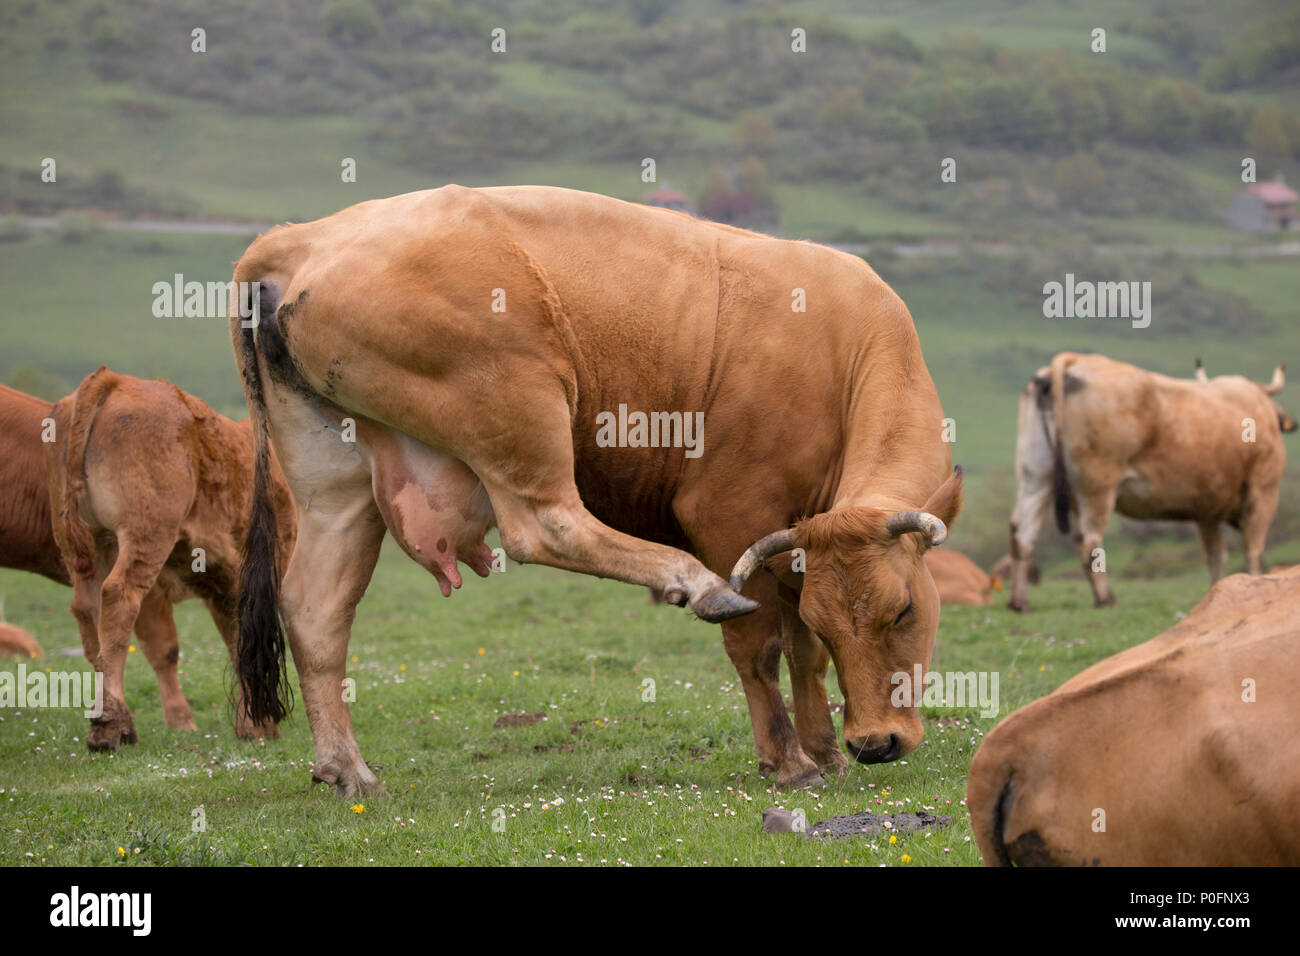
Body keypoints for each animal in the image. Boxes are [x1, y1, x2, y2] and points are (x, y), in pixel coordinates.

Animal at [43, 367, 296, 750]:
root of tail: (116, 380)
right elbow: (245, 640)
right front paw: (257, 724)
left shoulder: (224, 583)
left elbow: (236, 639)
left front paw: (251, 723)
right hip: (146, 533)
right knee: (118, 598)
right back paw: (108, 726)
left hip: (87, 544)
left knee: (88, 611)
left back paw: (117, 720)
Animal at [229, 184, 962, 798]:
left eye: (903, 611)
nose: (874, 743)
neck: (844, 350)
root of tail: (305, 237)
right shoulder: (730, 512)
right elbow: (761, 646)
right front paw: (789, 761)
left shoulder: (797, 548)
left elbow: (805, 652)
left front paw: (825, 752)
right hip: (521, 391)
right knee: (545, 524)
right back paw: (692, 581)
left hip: (339, 489)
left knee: (317, 610)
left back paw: (346, 769)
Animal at [1007, 352, 1293, 611]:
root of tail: (1073, 360)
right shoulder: (1263, 493)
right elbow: (1252, 550)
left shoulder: (1206, 508)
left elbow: (1216, 556)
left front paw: (1216, 593)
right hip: (1098, 486)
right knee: (1090, 542)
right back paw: (1105, 598)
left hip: (1036, 478)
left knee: (1022, 535)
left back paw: (1019, 602)